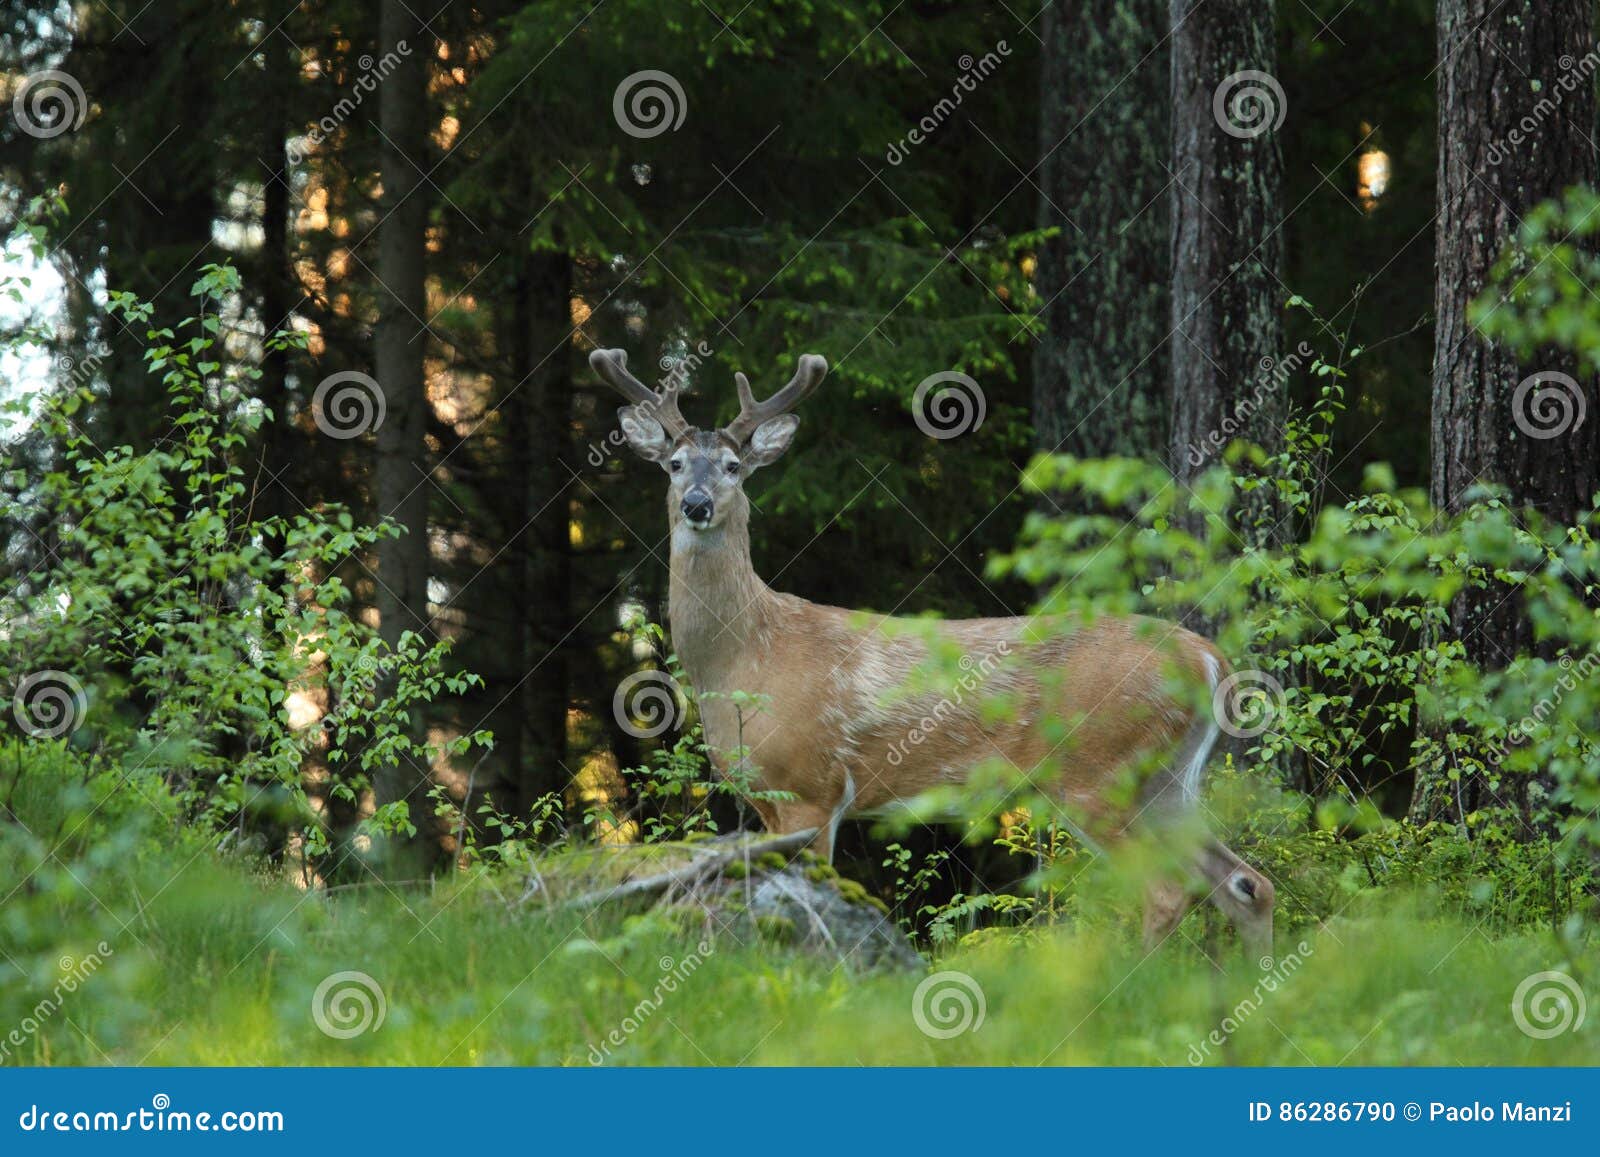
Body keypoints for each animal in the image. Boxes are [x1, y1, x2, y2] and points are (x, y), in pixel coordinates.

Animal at [591, 346, 1275, 958]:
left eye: (734, 466)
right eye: (674, 463)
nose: (697, 504)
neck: (745, 659)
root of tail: (1207, 659)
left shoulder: (811, 785)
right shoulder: (767, 800)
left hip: (1098, 770)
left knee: (1168, 889)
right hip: (1165, 781)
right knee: (1246, 883)